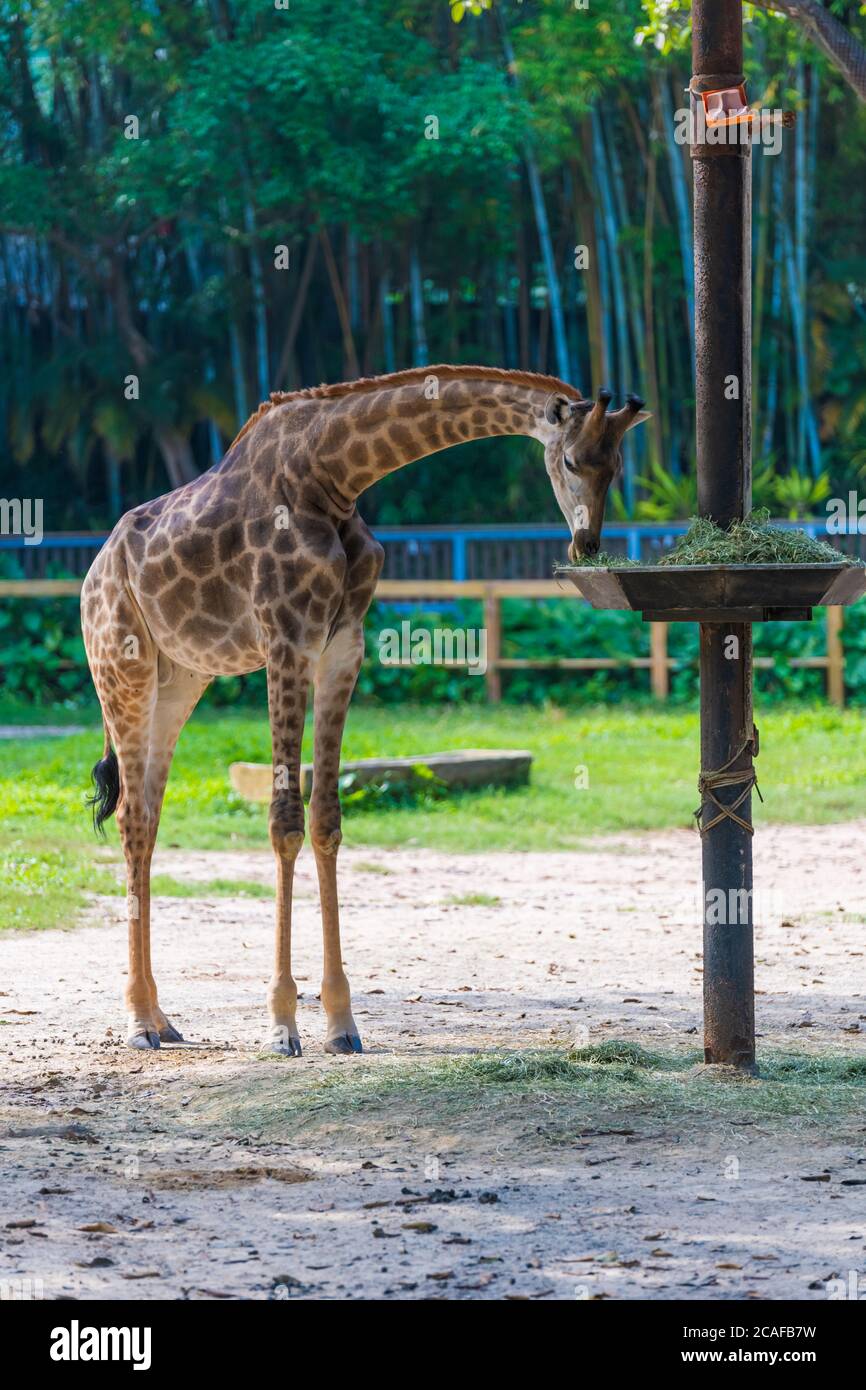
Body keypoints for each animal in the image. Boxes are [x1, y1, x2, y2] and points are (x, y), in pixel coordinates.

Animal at [81, 366, 650, 1054]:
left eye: (616, 465)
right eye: (569, 459)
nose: (587, 544)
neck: (335, 475)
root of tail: (94, 570)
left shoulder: (342, 646)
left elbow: (326, 819)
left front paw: (341, 1023)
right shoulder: (286, 640)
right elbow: (284, 822)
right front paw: (282, 1023)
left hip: (181, 682)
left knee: (148, 817)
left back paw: (163, 1018)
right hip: (123, 668)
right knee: (133, 819)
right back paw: (139, 1021)